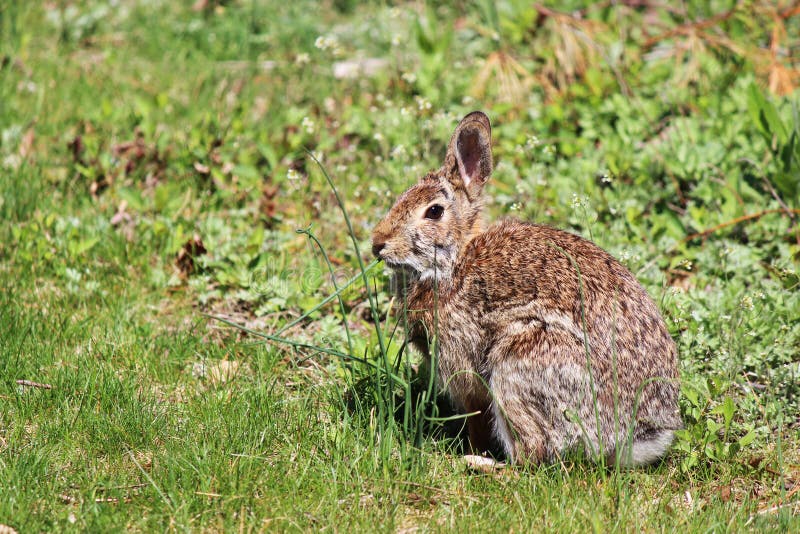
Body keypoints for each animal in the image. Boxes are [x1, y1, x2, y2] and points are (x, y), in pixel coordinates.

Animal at [370, 111, 681, 466]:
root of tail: (634, 435)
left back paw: (479, 464)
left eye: (433, 211)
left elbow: (476, 416)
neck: (455, 260)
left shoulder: (463, 364)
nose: (377, 244)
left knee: (530, 454)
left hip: (518, 365)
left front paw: (472, 448)